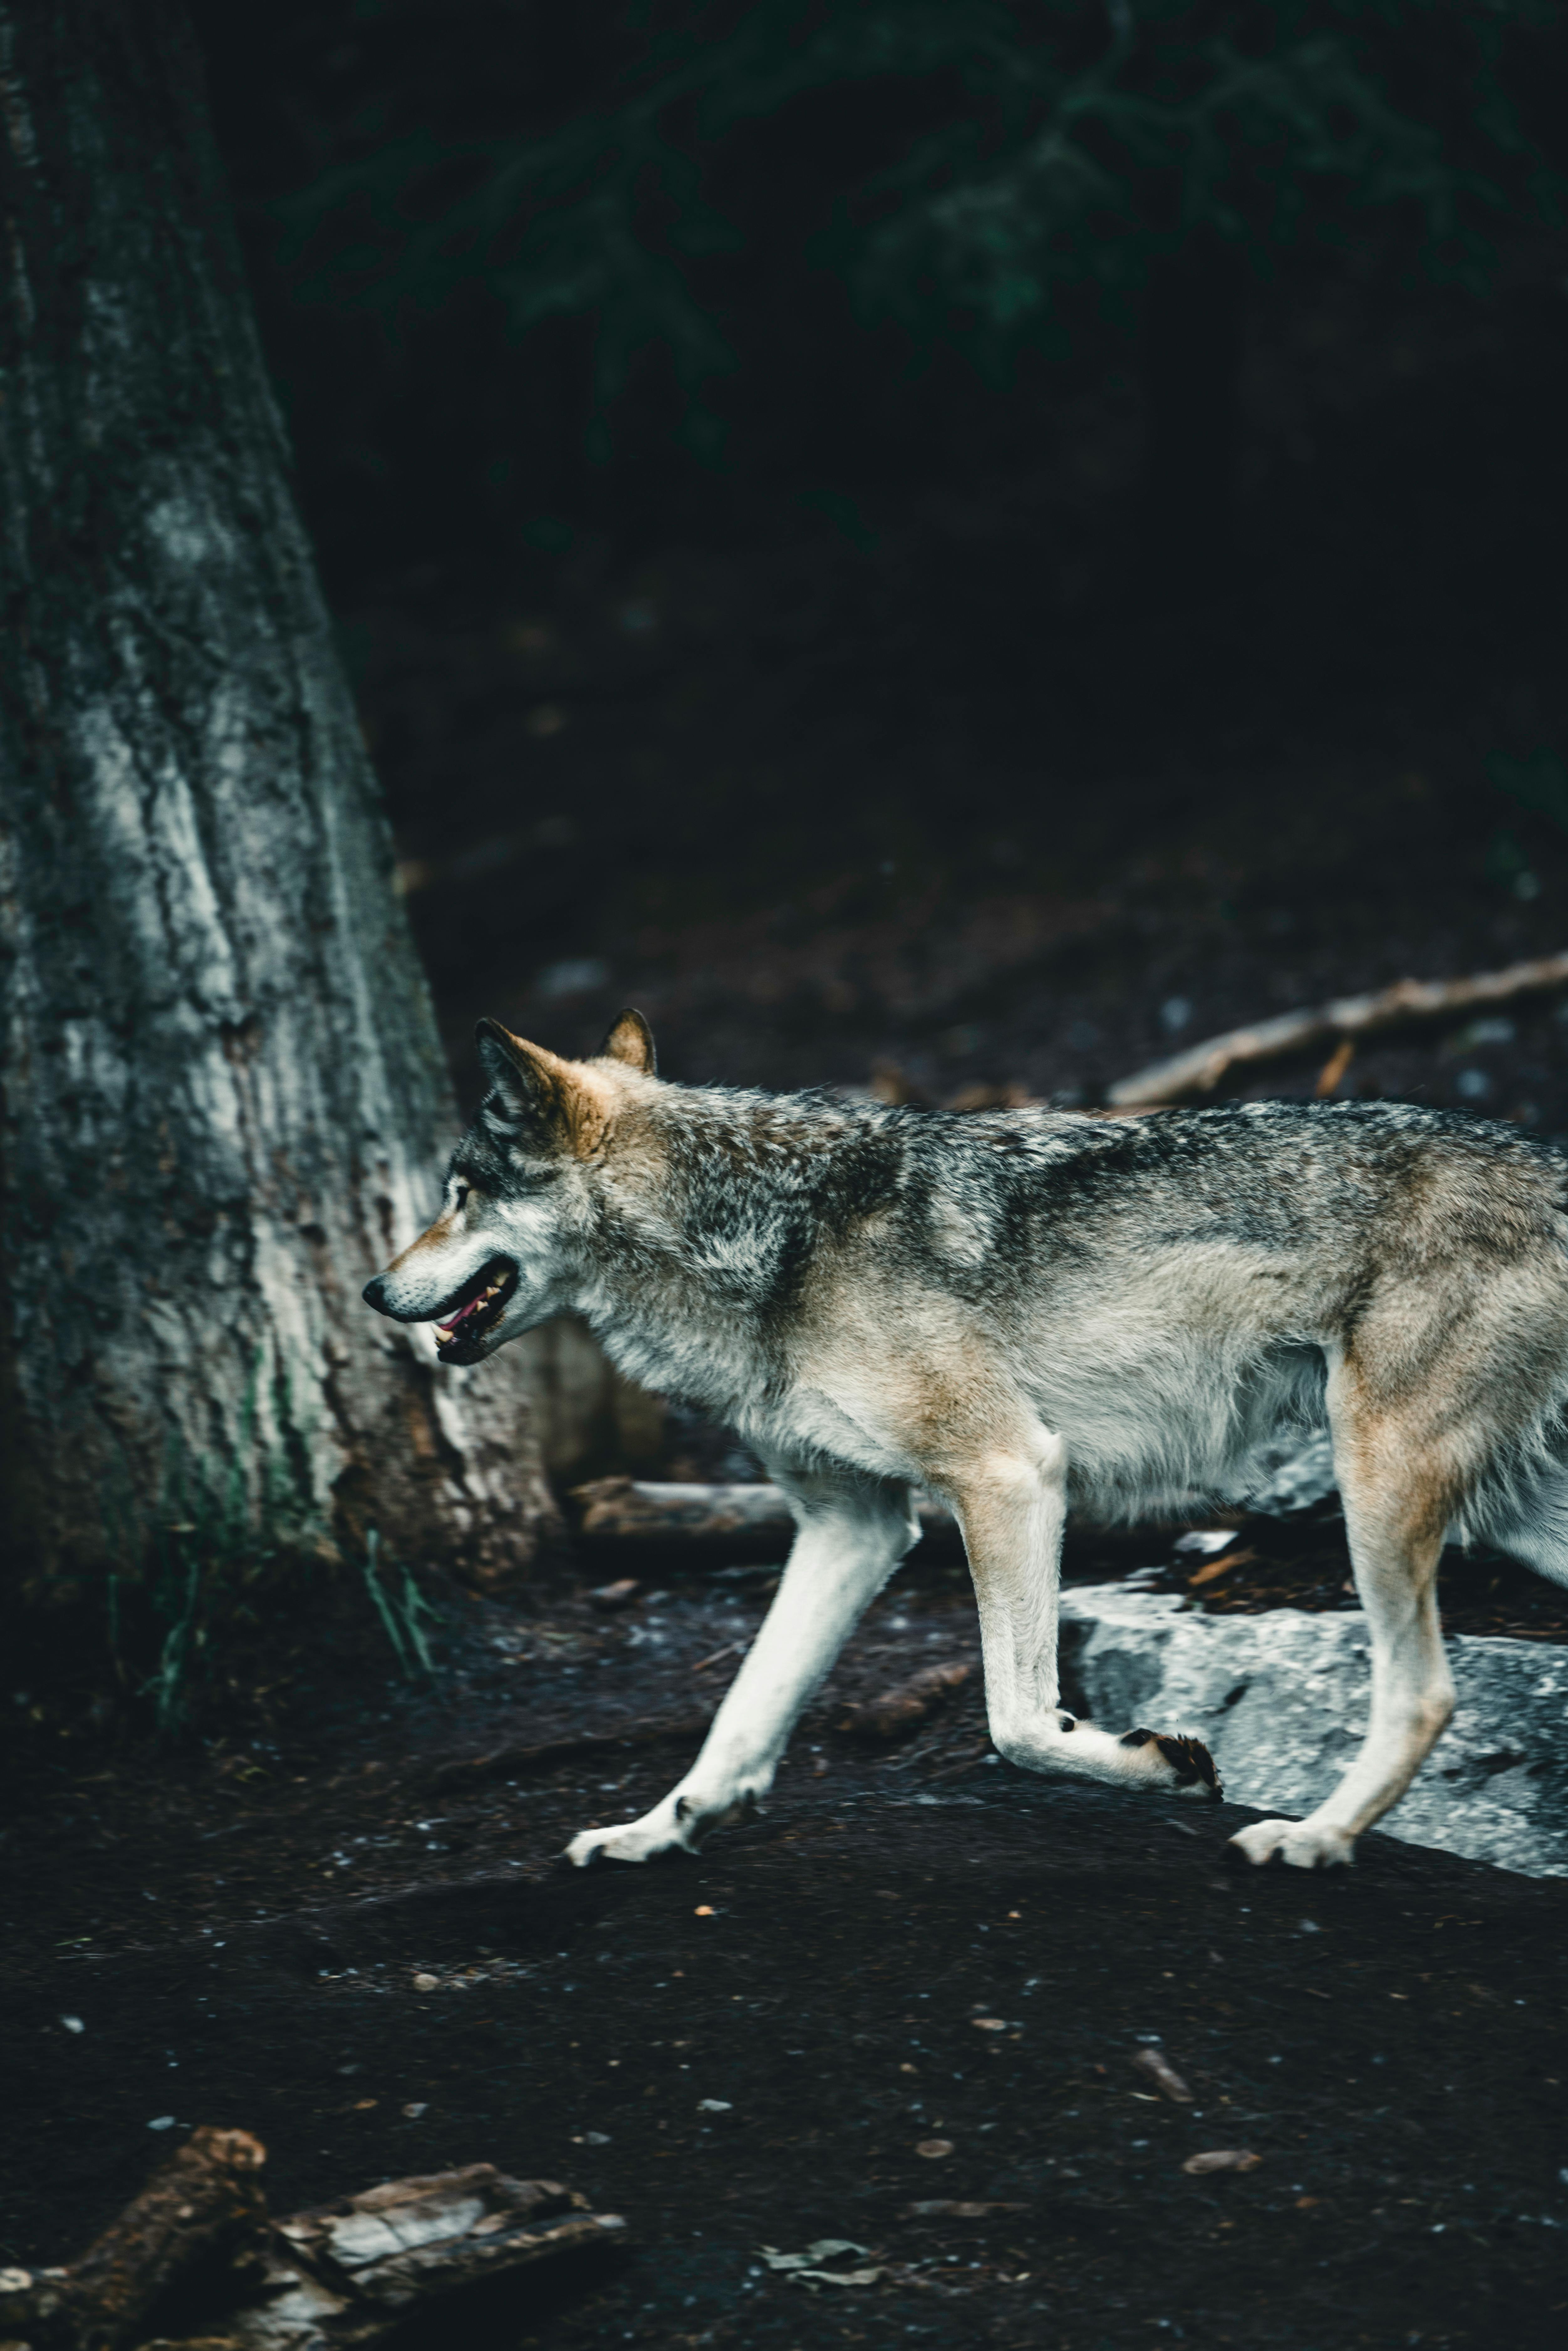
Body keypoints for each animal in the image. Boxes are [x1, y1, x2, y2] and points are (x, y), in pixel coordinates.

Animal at [363, 1010, 1568, 1871]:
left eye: (459, 1193)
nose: (375, 1291)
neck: (765, 1241)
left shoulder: (1010, 1474)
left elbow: (1018, 1721)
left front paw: (1165, 1763)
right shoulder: (849, 1526)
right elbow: (740, 1717)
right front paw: (656, 1830)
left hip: (1379, 1489)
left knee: (1422, 1694)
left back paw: (1314, 1836)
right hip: (1502, 1513)